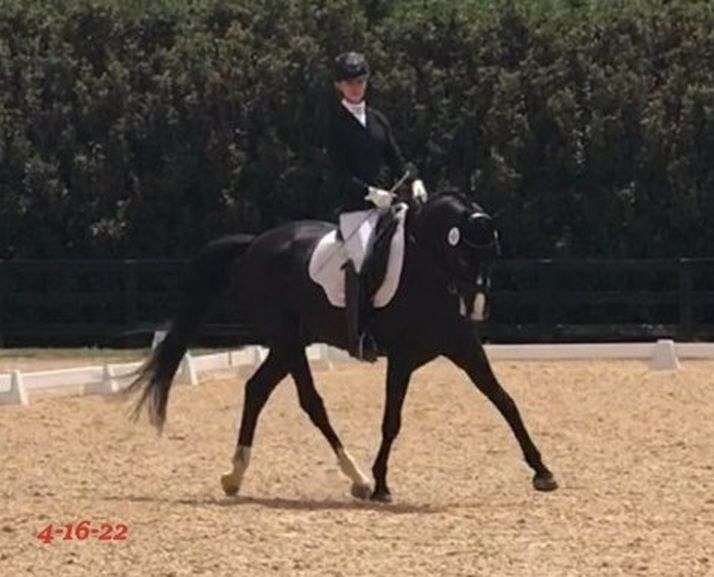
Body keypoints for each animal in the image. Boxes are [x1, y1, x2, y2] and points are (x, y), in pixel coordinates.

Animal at [123, 191, 558, 502]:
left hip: (288, 343)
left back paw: (235, 476)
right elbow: (391, 420)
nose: (479, 308)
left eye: (491, 253)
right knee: (310, 402)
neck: (427, 268)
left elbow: (504, 401)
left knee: (257, 389)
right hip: (288, 341)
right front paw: (381, 484)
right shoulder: (401, 358)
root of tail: (255, 245)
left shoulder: (463, 347)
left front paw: (542, 471)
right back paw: (358, 478)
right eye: (465, 252)